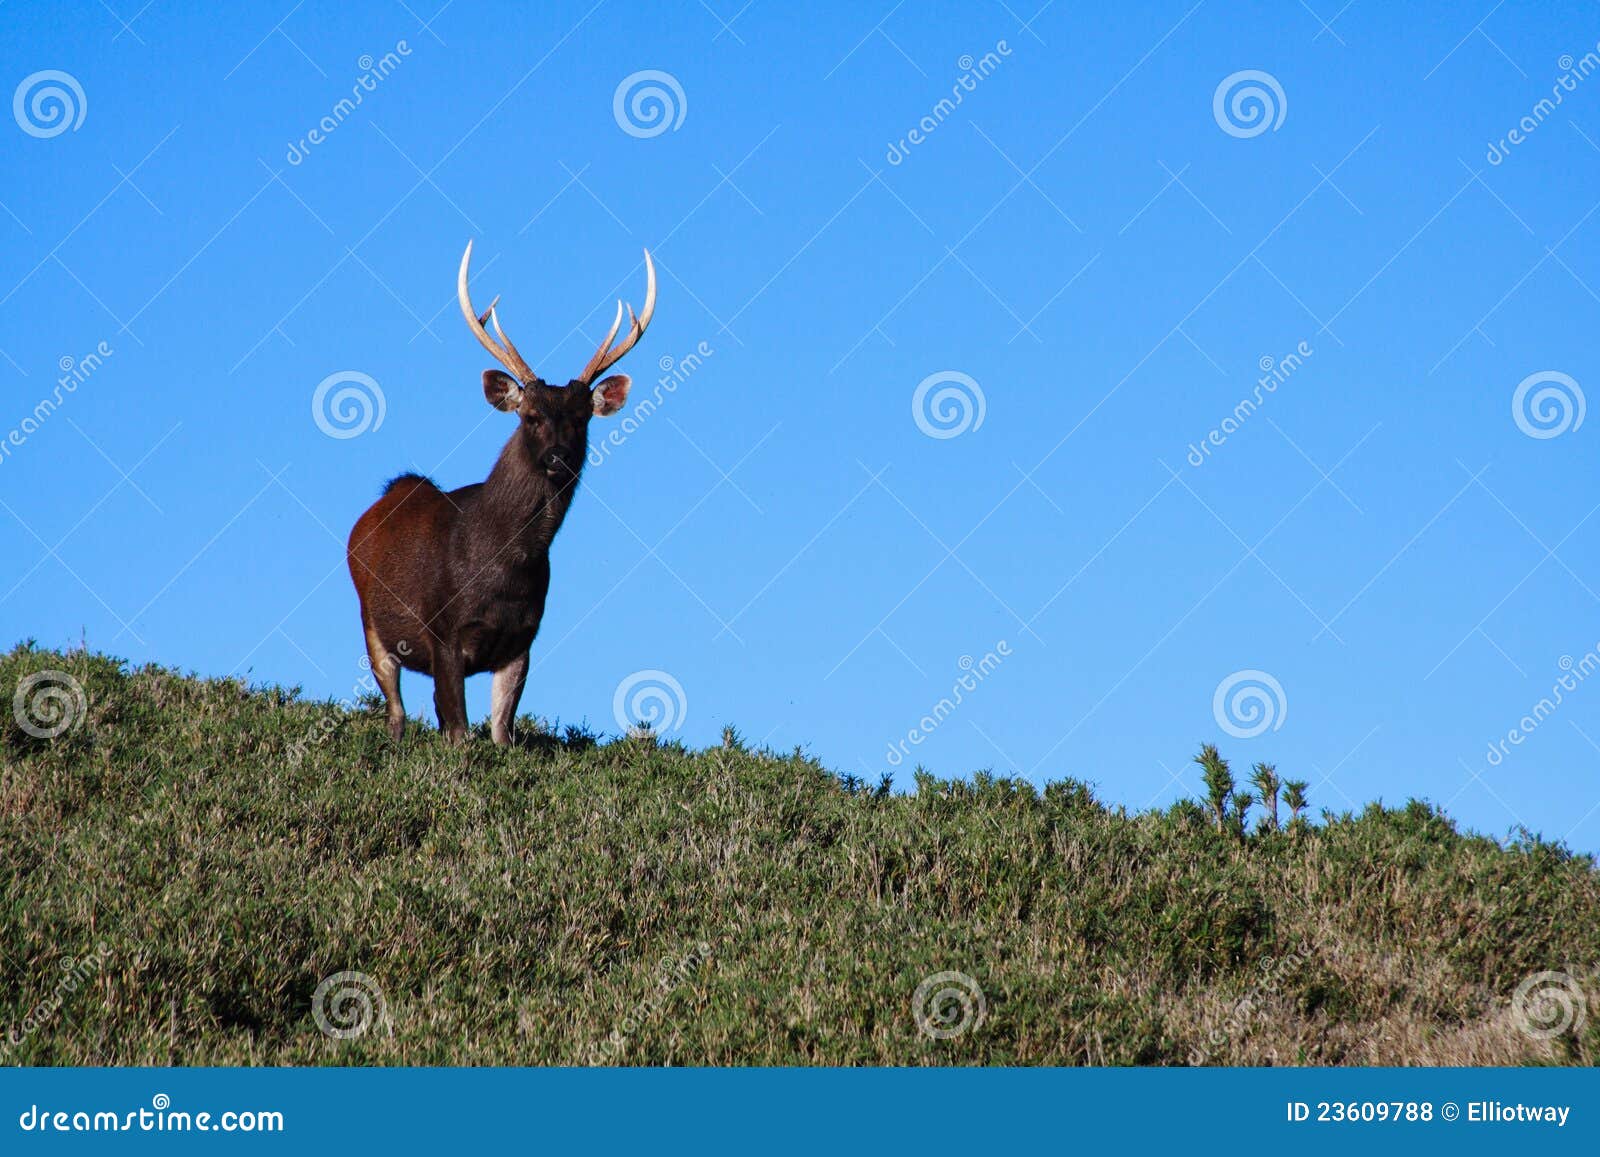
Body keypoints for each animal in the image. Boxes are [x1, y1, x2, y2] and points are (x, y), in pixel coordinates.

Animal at [346, 240, 655, 746]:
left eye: (582, 419)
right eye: (530, 416)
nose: (558, 457)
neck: (504, 566)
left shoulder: (523, 639)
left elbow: (501, 734)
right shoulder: (442, 630)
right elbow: (458, 729)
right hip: (370, 620)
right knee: (396, 709)